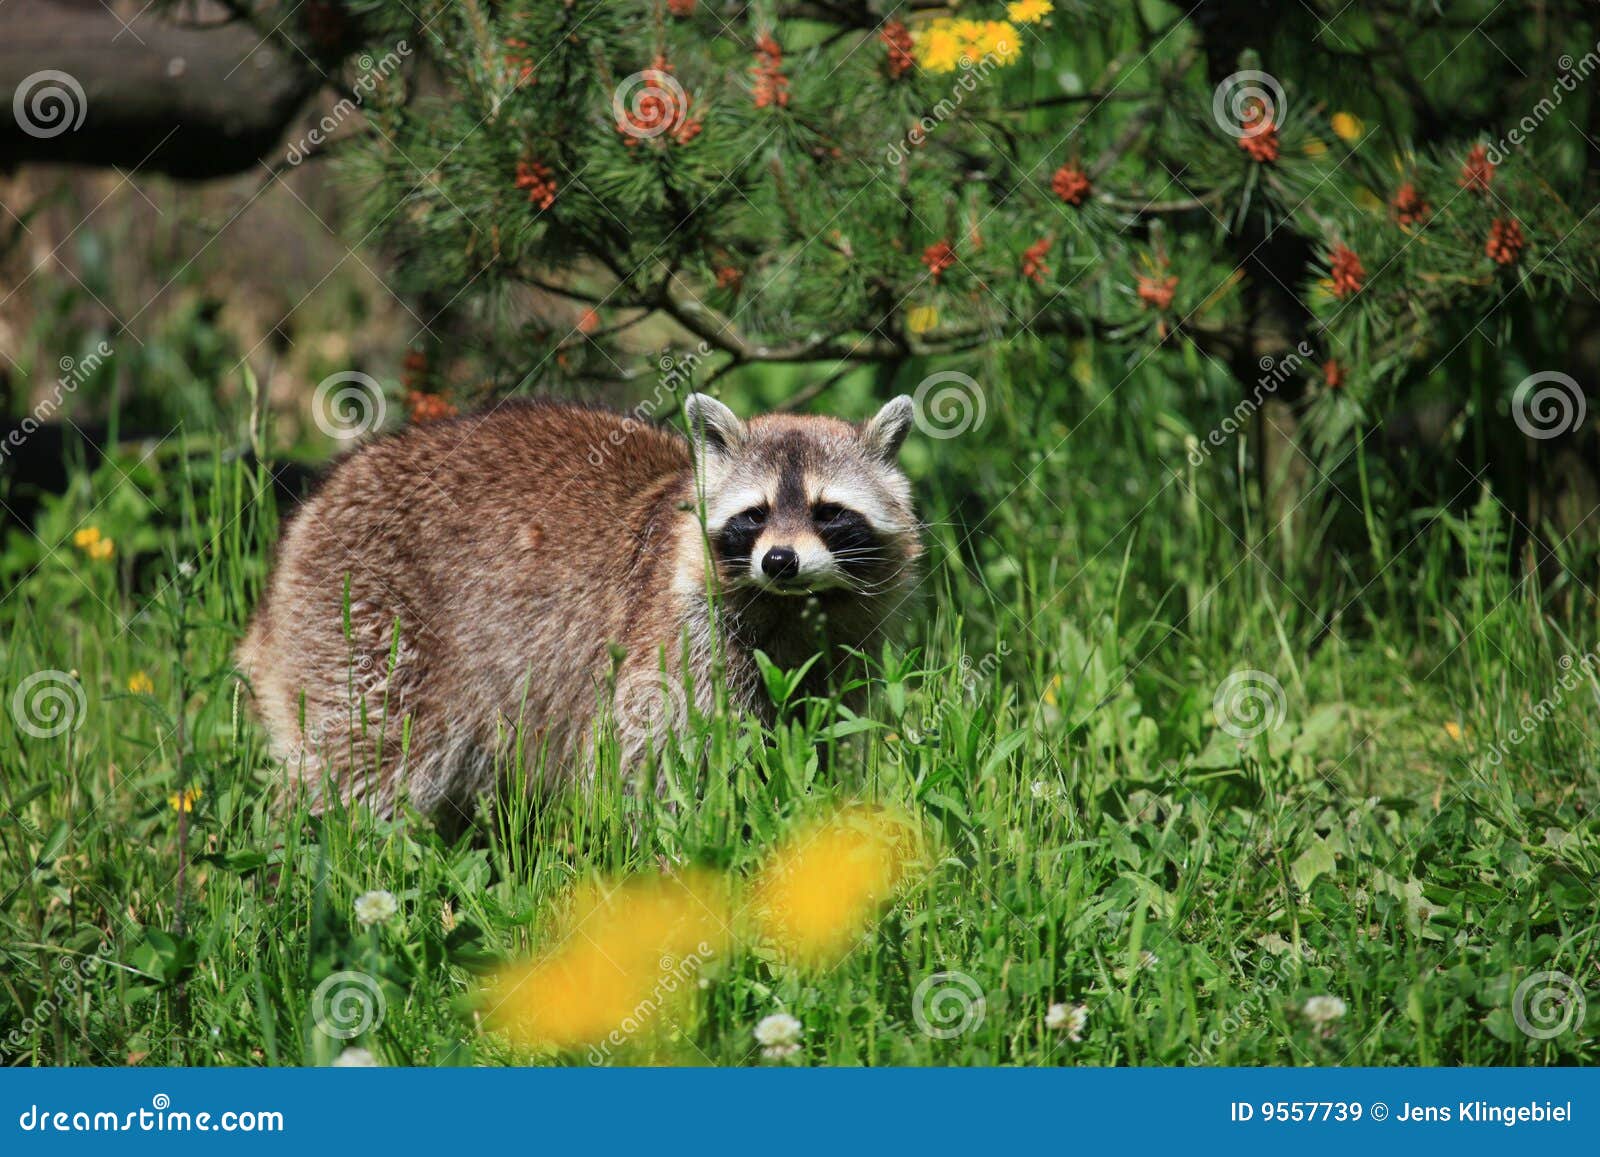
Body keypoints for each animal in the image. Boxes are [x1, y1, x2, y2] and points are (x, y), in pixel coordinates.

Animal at [237, 393, 921, 823]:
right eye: (754, 516)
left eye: (829, 513)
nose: (780, 561)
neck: (792, 608)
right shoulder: (674, 637)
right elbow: (646, 761)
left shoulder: (839, 647)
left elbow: (815, 735)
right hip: (358, 612)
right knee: (367, 754)